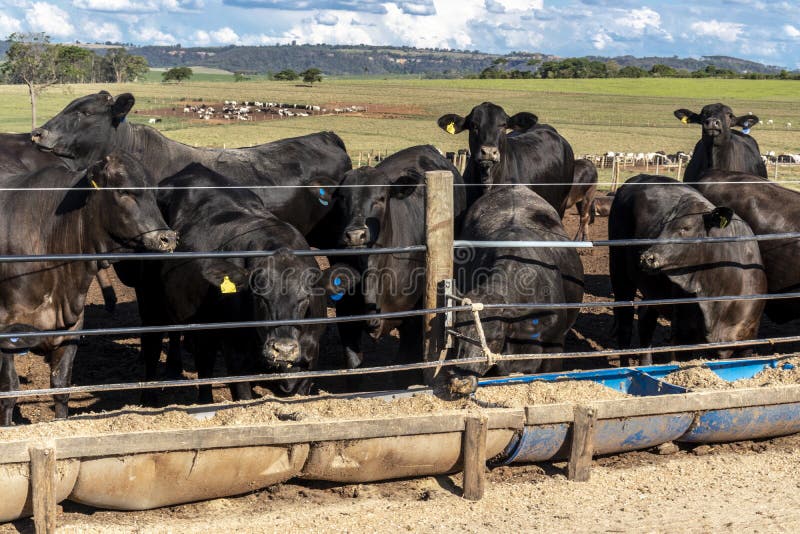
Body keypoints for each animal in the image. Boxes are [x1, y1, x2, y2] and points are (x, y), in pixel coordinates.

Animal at [0, 152, 177, 424]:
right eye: (124, 191)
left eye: (154, 192)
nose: (167, 238)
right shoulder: (7, 329)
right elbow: (10, 390)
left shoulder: (71, 328)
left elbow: (61, 386)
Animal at [130, 164, 358, 403]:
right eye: (260, 296)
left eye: (305, 298)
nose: (283, 349)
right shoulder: (236, 358)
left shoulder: (311, 359)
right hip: (150, 302)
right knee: (153, 348)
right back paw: (149, 399)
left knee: (203, 360)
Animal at [316, 145, 466, 370]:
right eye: (341, 198)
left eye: (381, 198)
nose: (356, 234)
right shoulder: (346, 314)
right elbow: (354, 363)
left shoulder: (413, 318)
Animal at [609, 175, 766, 366]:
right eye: (663, 225)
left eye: (686, 227)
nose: (647, 257)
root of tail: (640, 177)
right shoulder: (683, 333)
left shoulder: (747, 340)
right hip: (619, 273)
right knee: (625, 324)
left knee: (646, 319)